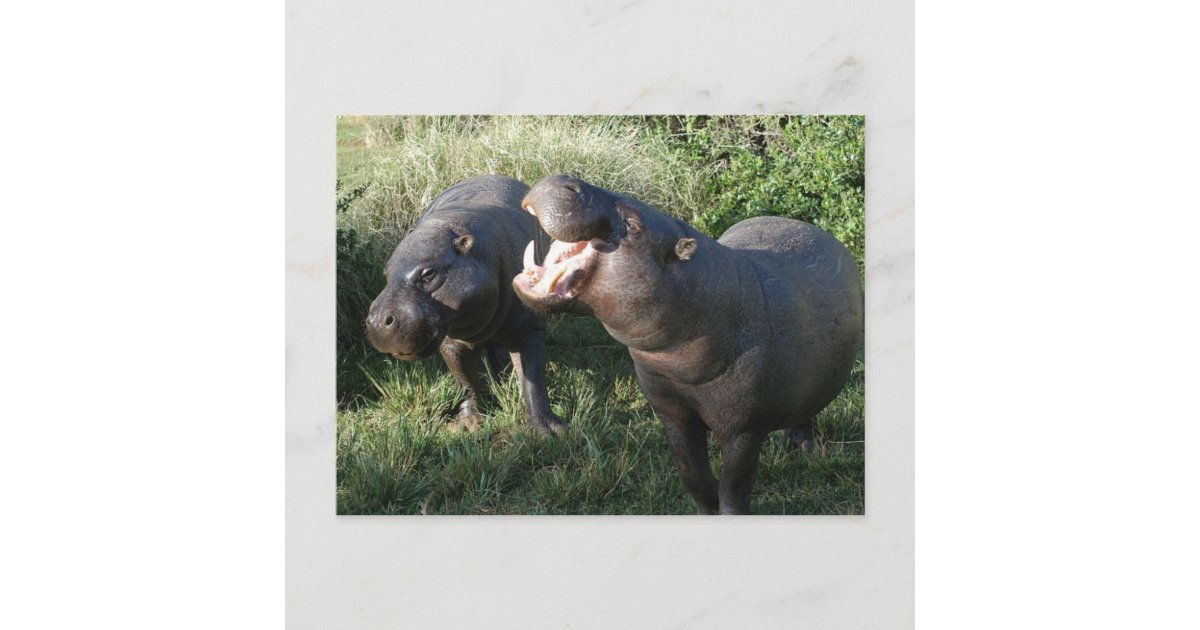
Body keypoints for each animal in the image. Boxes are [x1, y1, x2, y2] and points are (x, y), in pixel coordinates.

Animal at [366, 175, 565, 435]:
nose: (378, 321)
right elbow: (467, 381)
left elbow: (532, 380)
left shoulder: (529, 328)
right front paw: (467, 426)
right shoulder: (451, 341)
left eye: (428, 273)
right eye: (386, 273)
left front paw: (547, 431)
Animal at [513, 174, 863, 513]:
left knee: (809, 408)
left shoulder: (743, 429)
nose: (564, 180)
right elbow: (692, 475)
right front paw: (707, 509)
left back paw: (798, 447)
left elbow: (734, 487)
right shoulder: (672, 413)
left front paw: (728, 512)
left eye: (635, 224)